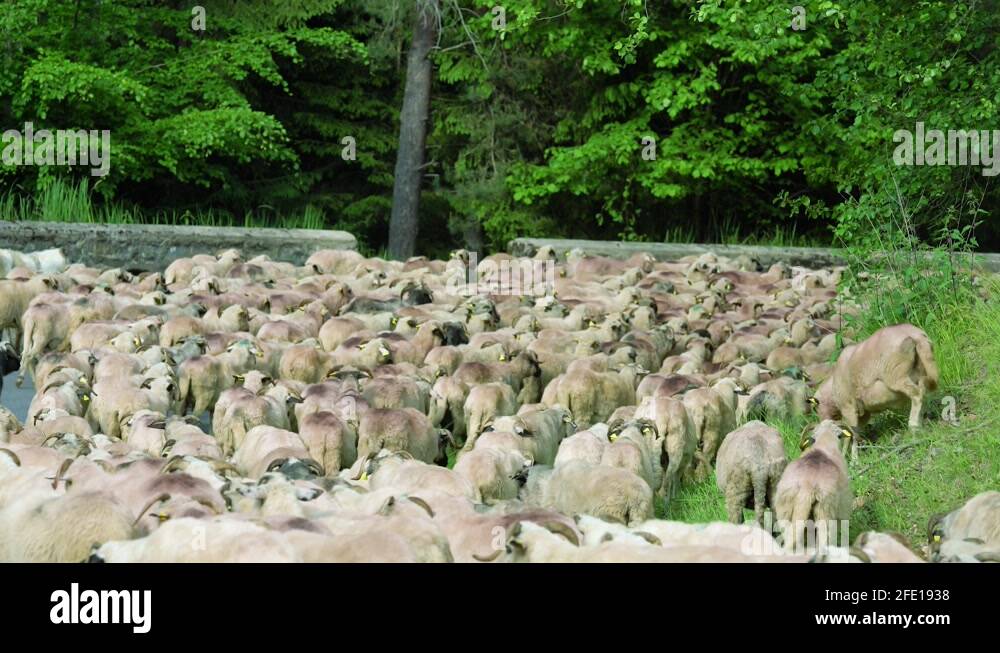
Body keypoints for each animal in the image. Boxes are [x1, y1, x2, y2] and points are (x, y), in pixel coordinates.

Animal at [773, 420, 853, 552]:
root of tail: (807, 486)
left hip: (784, 511)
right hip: (825, 512)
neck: (824, 444)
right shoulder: (843, 508)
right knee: (823, 541)